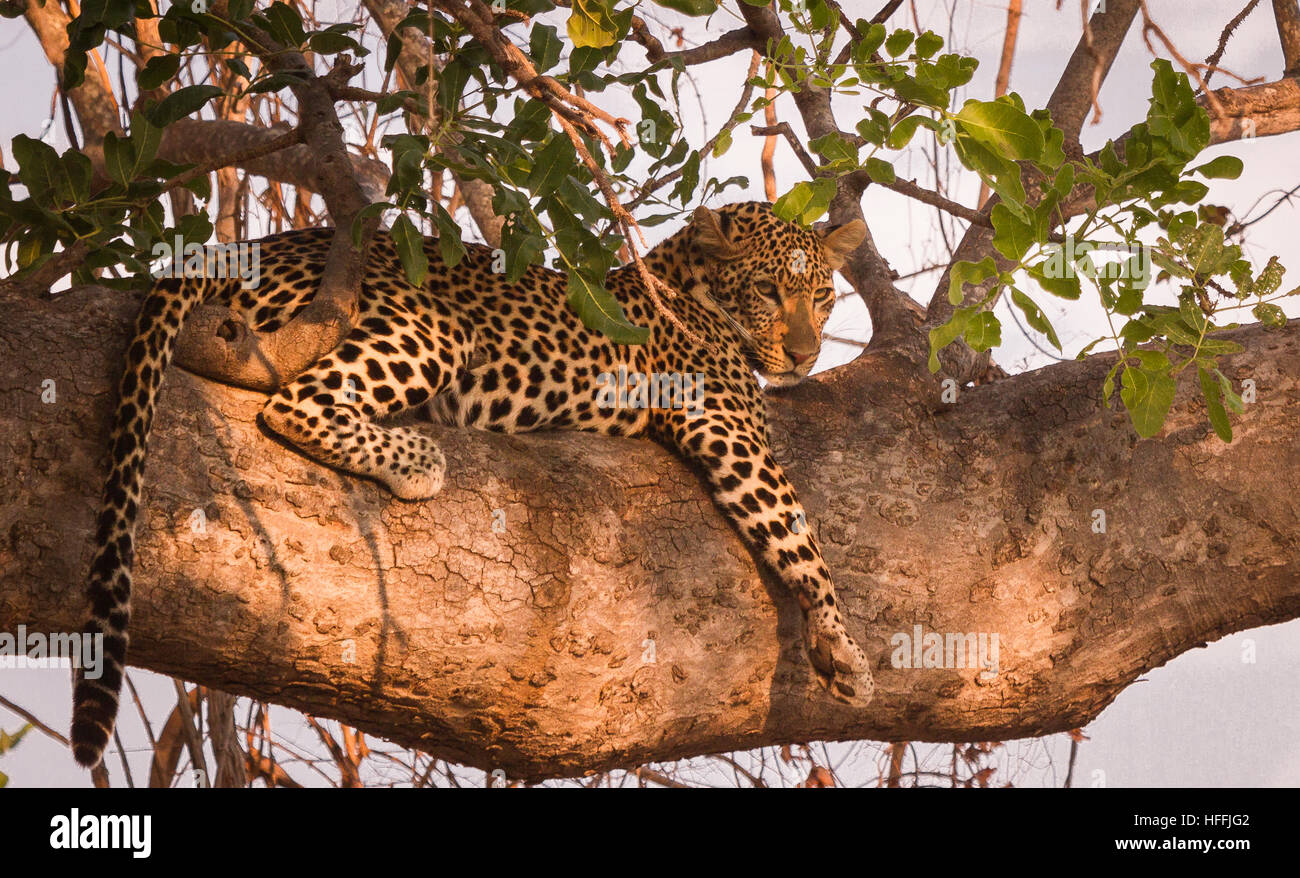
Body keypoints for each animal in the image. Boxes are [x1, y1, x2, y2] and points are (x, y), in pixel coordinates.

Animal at [71, 200, 873, 768]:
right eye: (767, 289)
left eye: (823, 297)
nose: (804, 355)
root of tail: (262, 245)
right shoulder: (727, 428)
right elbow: (800, 536)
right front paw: (845, 651)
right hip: (429, 327)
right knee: (294, 403)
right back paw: (415, 460)